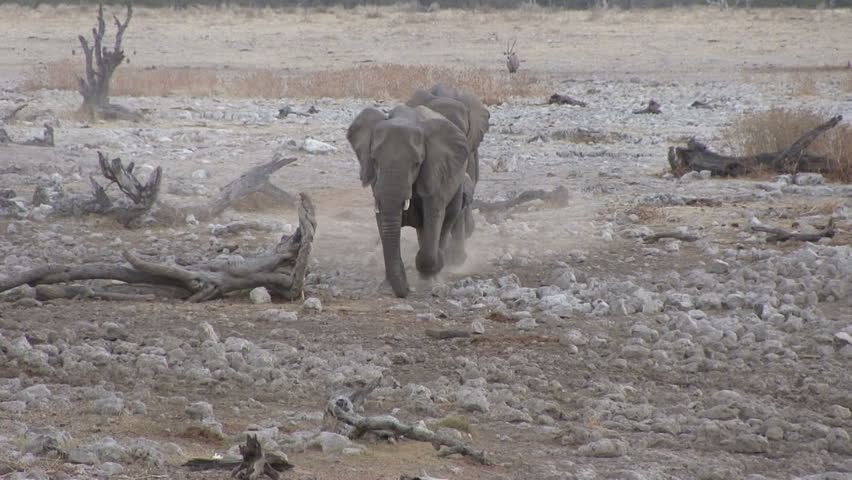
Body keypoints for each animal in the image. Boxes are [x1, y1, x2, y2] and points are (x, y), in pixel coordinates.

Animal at [347, 104, 471, 298]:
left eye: (417, 163)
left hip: (457, 179)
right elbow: (383, 220)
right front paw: (387, 288)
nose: (406, 290)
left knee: (447, 220)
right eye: (374, 160)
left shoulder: (435, 172)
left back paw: (435, 272)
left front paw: (431, 268)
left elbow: (434, 215)